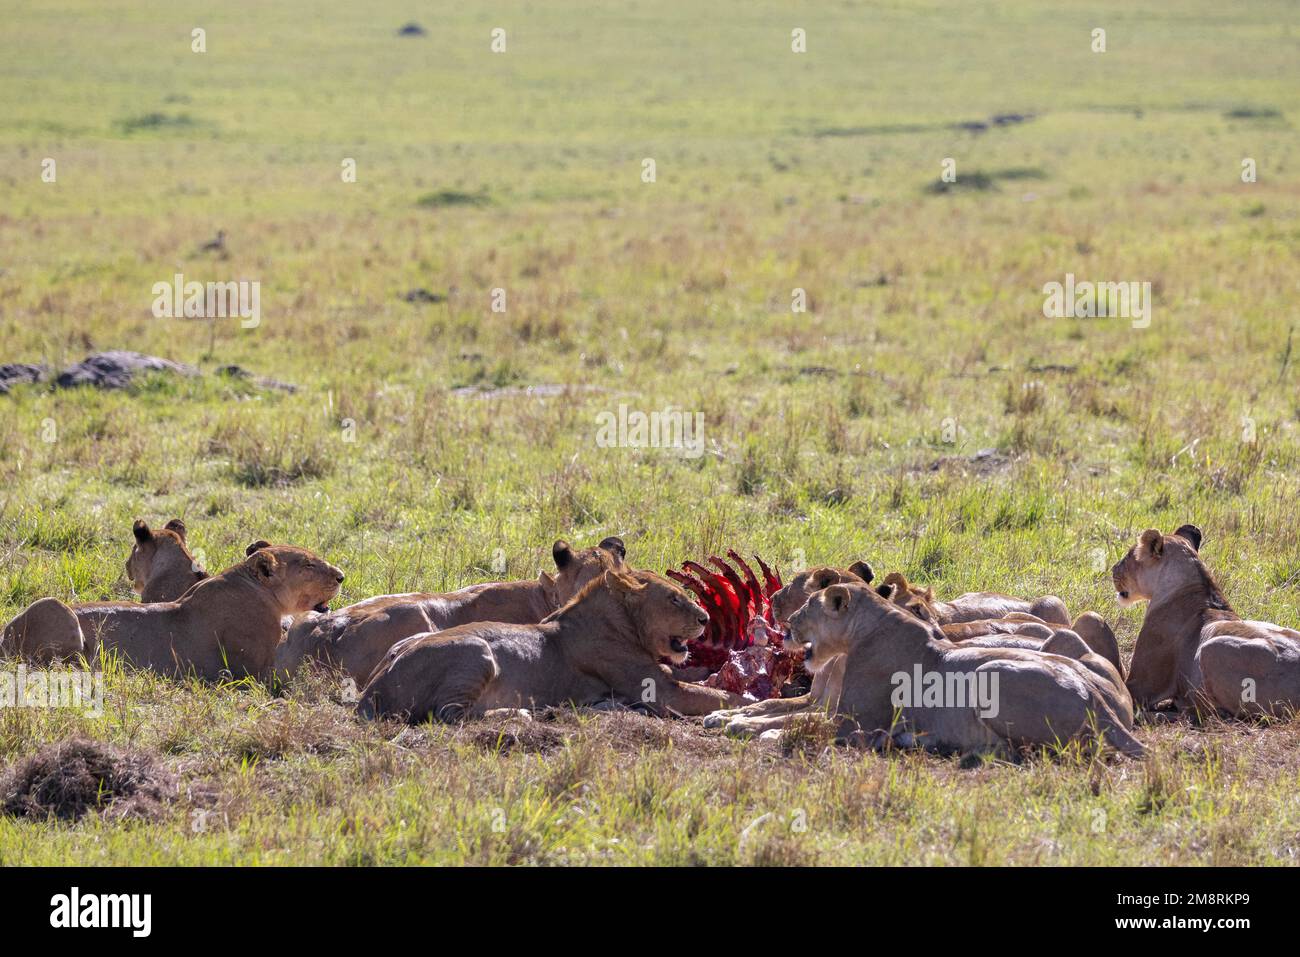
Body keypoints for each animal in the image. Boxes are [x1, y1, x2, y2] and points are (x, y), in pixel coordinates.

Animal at [356, 567, 745, 722]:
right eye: (673, 599)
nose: (705, 619)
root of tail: (373, 691)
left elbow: (700, 678)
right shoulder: (661, 691)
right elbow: (718, 696)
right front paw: (753, 701)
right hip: (477, 651)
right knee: (448, 715)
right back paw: (519, 713)